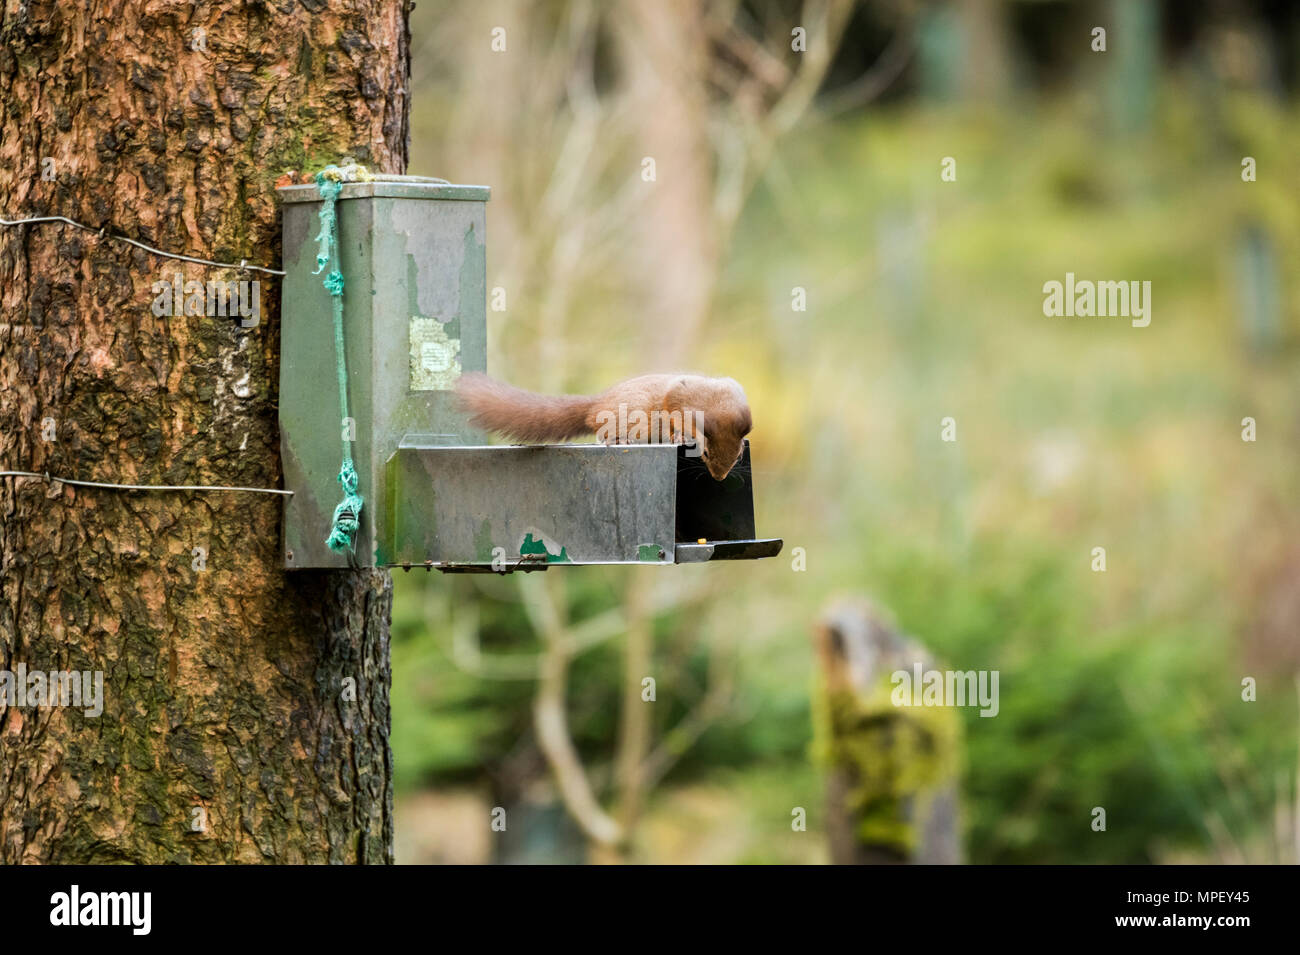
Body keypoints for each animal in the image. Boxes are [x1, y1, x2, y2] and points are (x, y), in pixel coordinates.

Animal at [455, 372, 752, 481]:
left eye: (738, 456)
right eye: (706, 454)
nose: (719, 479)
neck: (716, 402)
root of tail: (597, 405)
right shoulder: (676, 398)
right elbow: (673, 414)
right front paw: (679, 436)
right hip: (629, 417)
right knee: (602, 433)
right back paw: (618, 440)